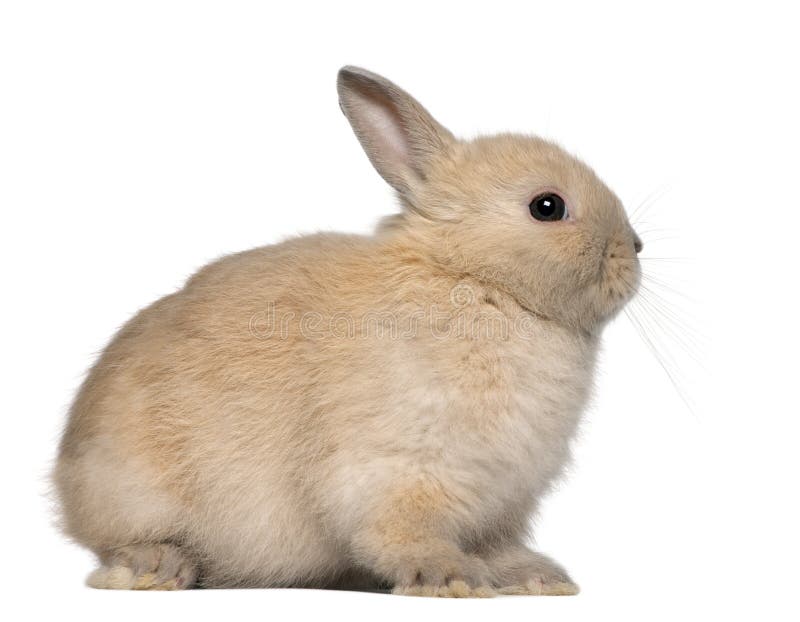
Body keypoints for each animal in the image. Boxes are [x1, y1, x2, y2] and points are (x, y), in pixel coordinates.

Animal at [52, 66, 642, 597]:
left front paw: (536, 578)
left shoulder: (502, 500)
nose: (634, 249)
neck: (475, 281)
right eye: (548, 206)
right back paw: (153, 568)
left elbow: (495, 546)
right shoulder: (400, 468)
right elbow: (401, 532)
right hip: (135, 490)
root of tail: (66, 470)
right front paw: (448, 578)